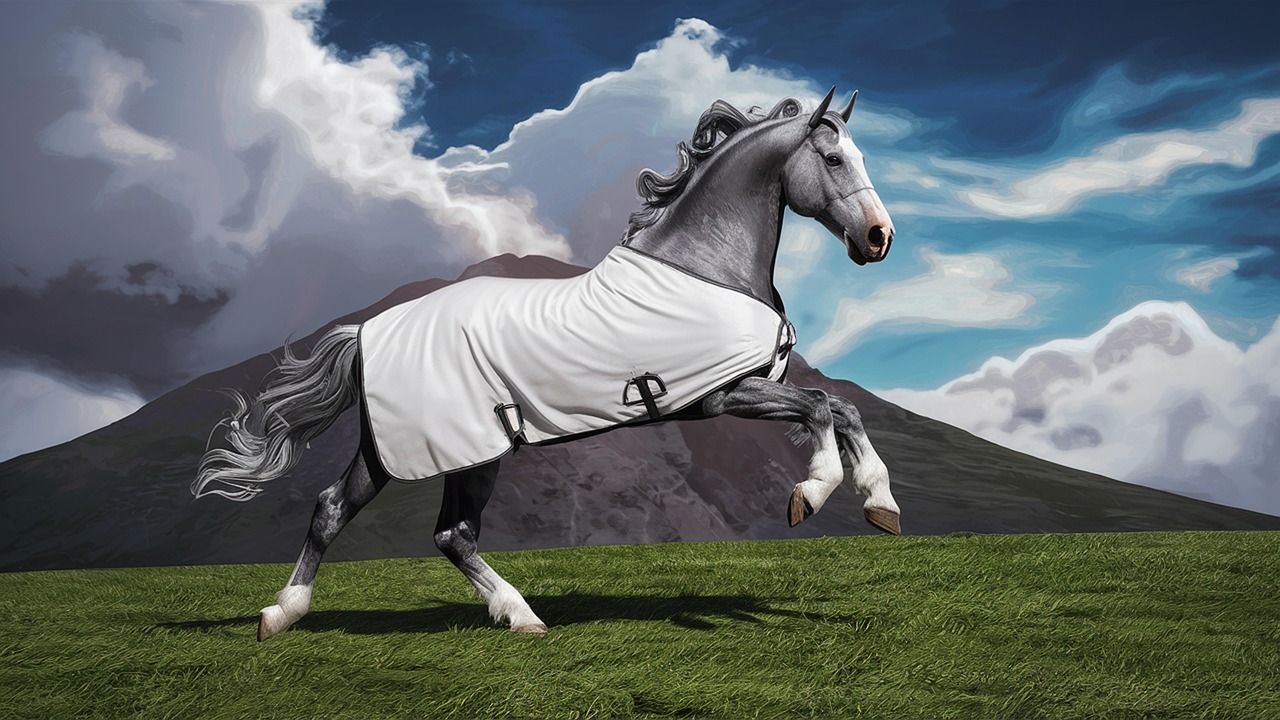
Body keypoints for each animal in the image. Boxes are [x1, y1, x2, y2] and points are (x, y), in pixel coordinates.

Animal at [194, 87, 900, 640]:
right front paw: (811, 494)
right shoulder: (723, 395)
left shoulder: (740, 391)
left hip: (442, 450)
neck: (704, 265)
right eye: (833, 158)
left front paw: (880, 503)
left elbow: (843, 408)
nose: (879, 238)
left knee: (403, 524)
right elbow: (820, 409)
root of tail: (368, 330)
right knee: (383, 520)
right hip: (437, 447)